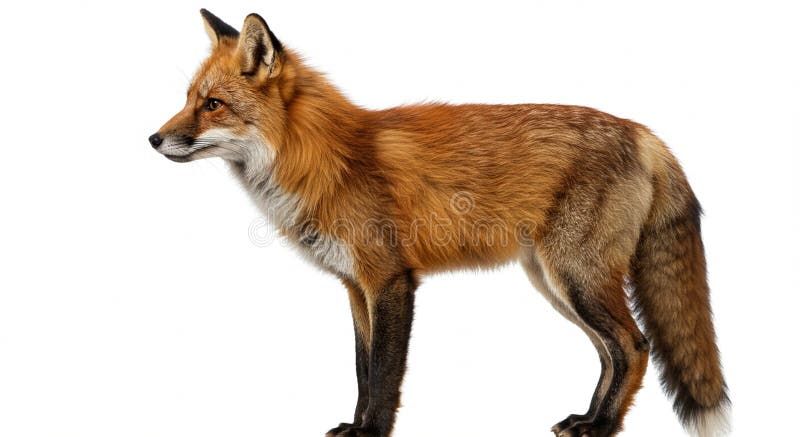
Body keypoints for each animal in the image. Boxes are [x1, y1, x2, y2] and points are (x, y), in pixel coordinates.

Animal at [150, 9, 730, 437]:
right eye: (188, 100)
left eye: (213, 104)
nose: (153, 139)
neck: (322, 160)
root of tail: (643, 132)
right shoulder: (355, 287)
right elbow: (361, 370)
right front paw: (355, 426)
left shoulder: (390, 280)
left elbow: (384, 373)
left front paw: (372, 432)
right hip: (555, 283)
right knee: (612, 353)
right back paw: (586, 418)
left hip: (575, 278)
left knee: (635, 346)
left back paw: (602, 427)